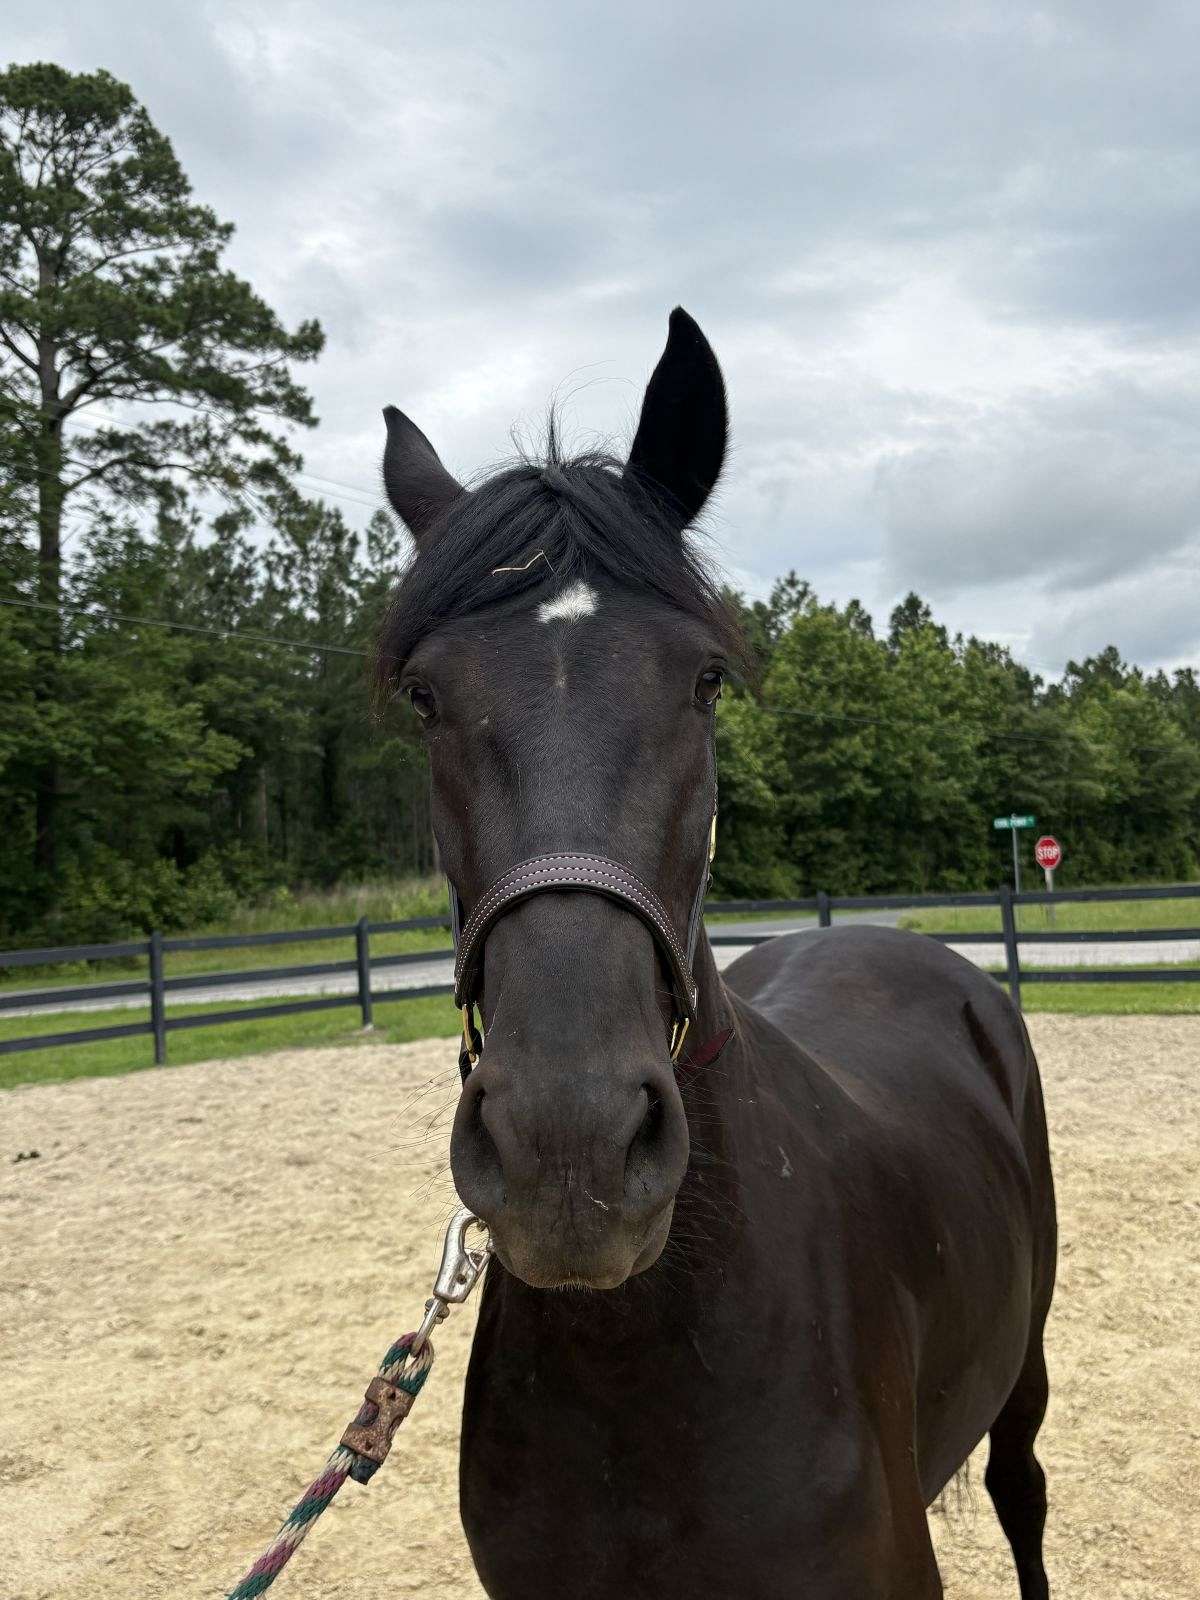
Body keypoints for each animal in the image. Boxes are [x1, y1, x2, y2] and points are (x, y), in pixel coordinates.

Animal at [374, 308, 1057, 1599]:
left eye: (703, 680)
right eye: (427, 697)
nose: (570, 1151)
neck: (644, 1374)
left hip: (1028, 1360)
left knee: (1023, 1491)